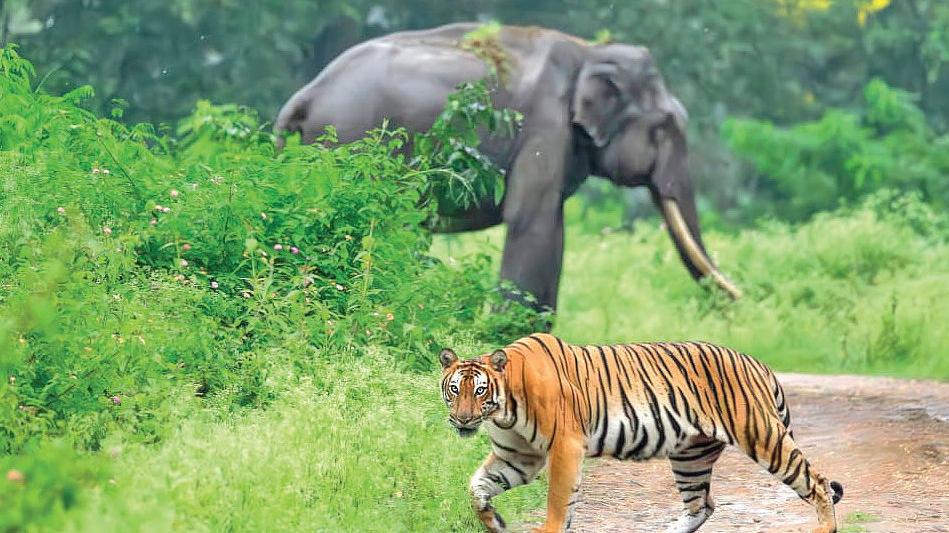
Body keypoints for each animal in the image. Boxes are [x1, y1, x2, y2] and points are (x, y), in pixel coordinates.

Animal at [438, 333, 843, 533]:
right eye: (455, 389)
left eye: (480, 391)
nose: (462, 420)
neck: (504, 410)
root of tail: (757, 363)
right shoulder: (519, 457)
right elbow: (476, 487)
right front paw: (494, 520)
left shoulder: (565, 446)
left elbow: (558, 500)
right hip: (691, 456)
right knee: (701, 505)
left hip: (761, 435)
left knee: (817, 482)